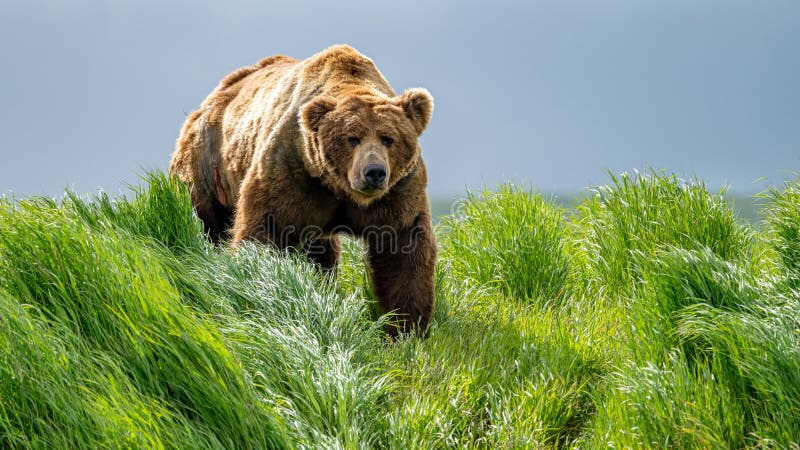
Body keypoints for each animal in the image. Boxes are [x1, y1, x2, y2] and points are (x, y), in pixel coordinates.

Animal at [169, 45, 436, 335]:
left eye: (389, 139)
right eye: (352, 138)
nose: (374, 172)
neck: (340, 189)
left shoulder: (397, 192)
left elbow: (402, 250)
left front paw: (405, 327)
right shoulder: (291, 171)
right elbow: (263, 233)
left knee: (320, 255)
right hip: (206, 165)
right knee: (206, 223)